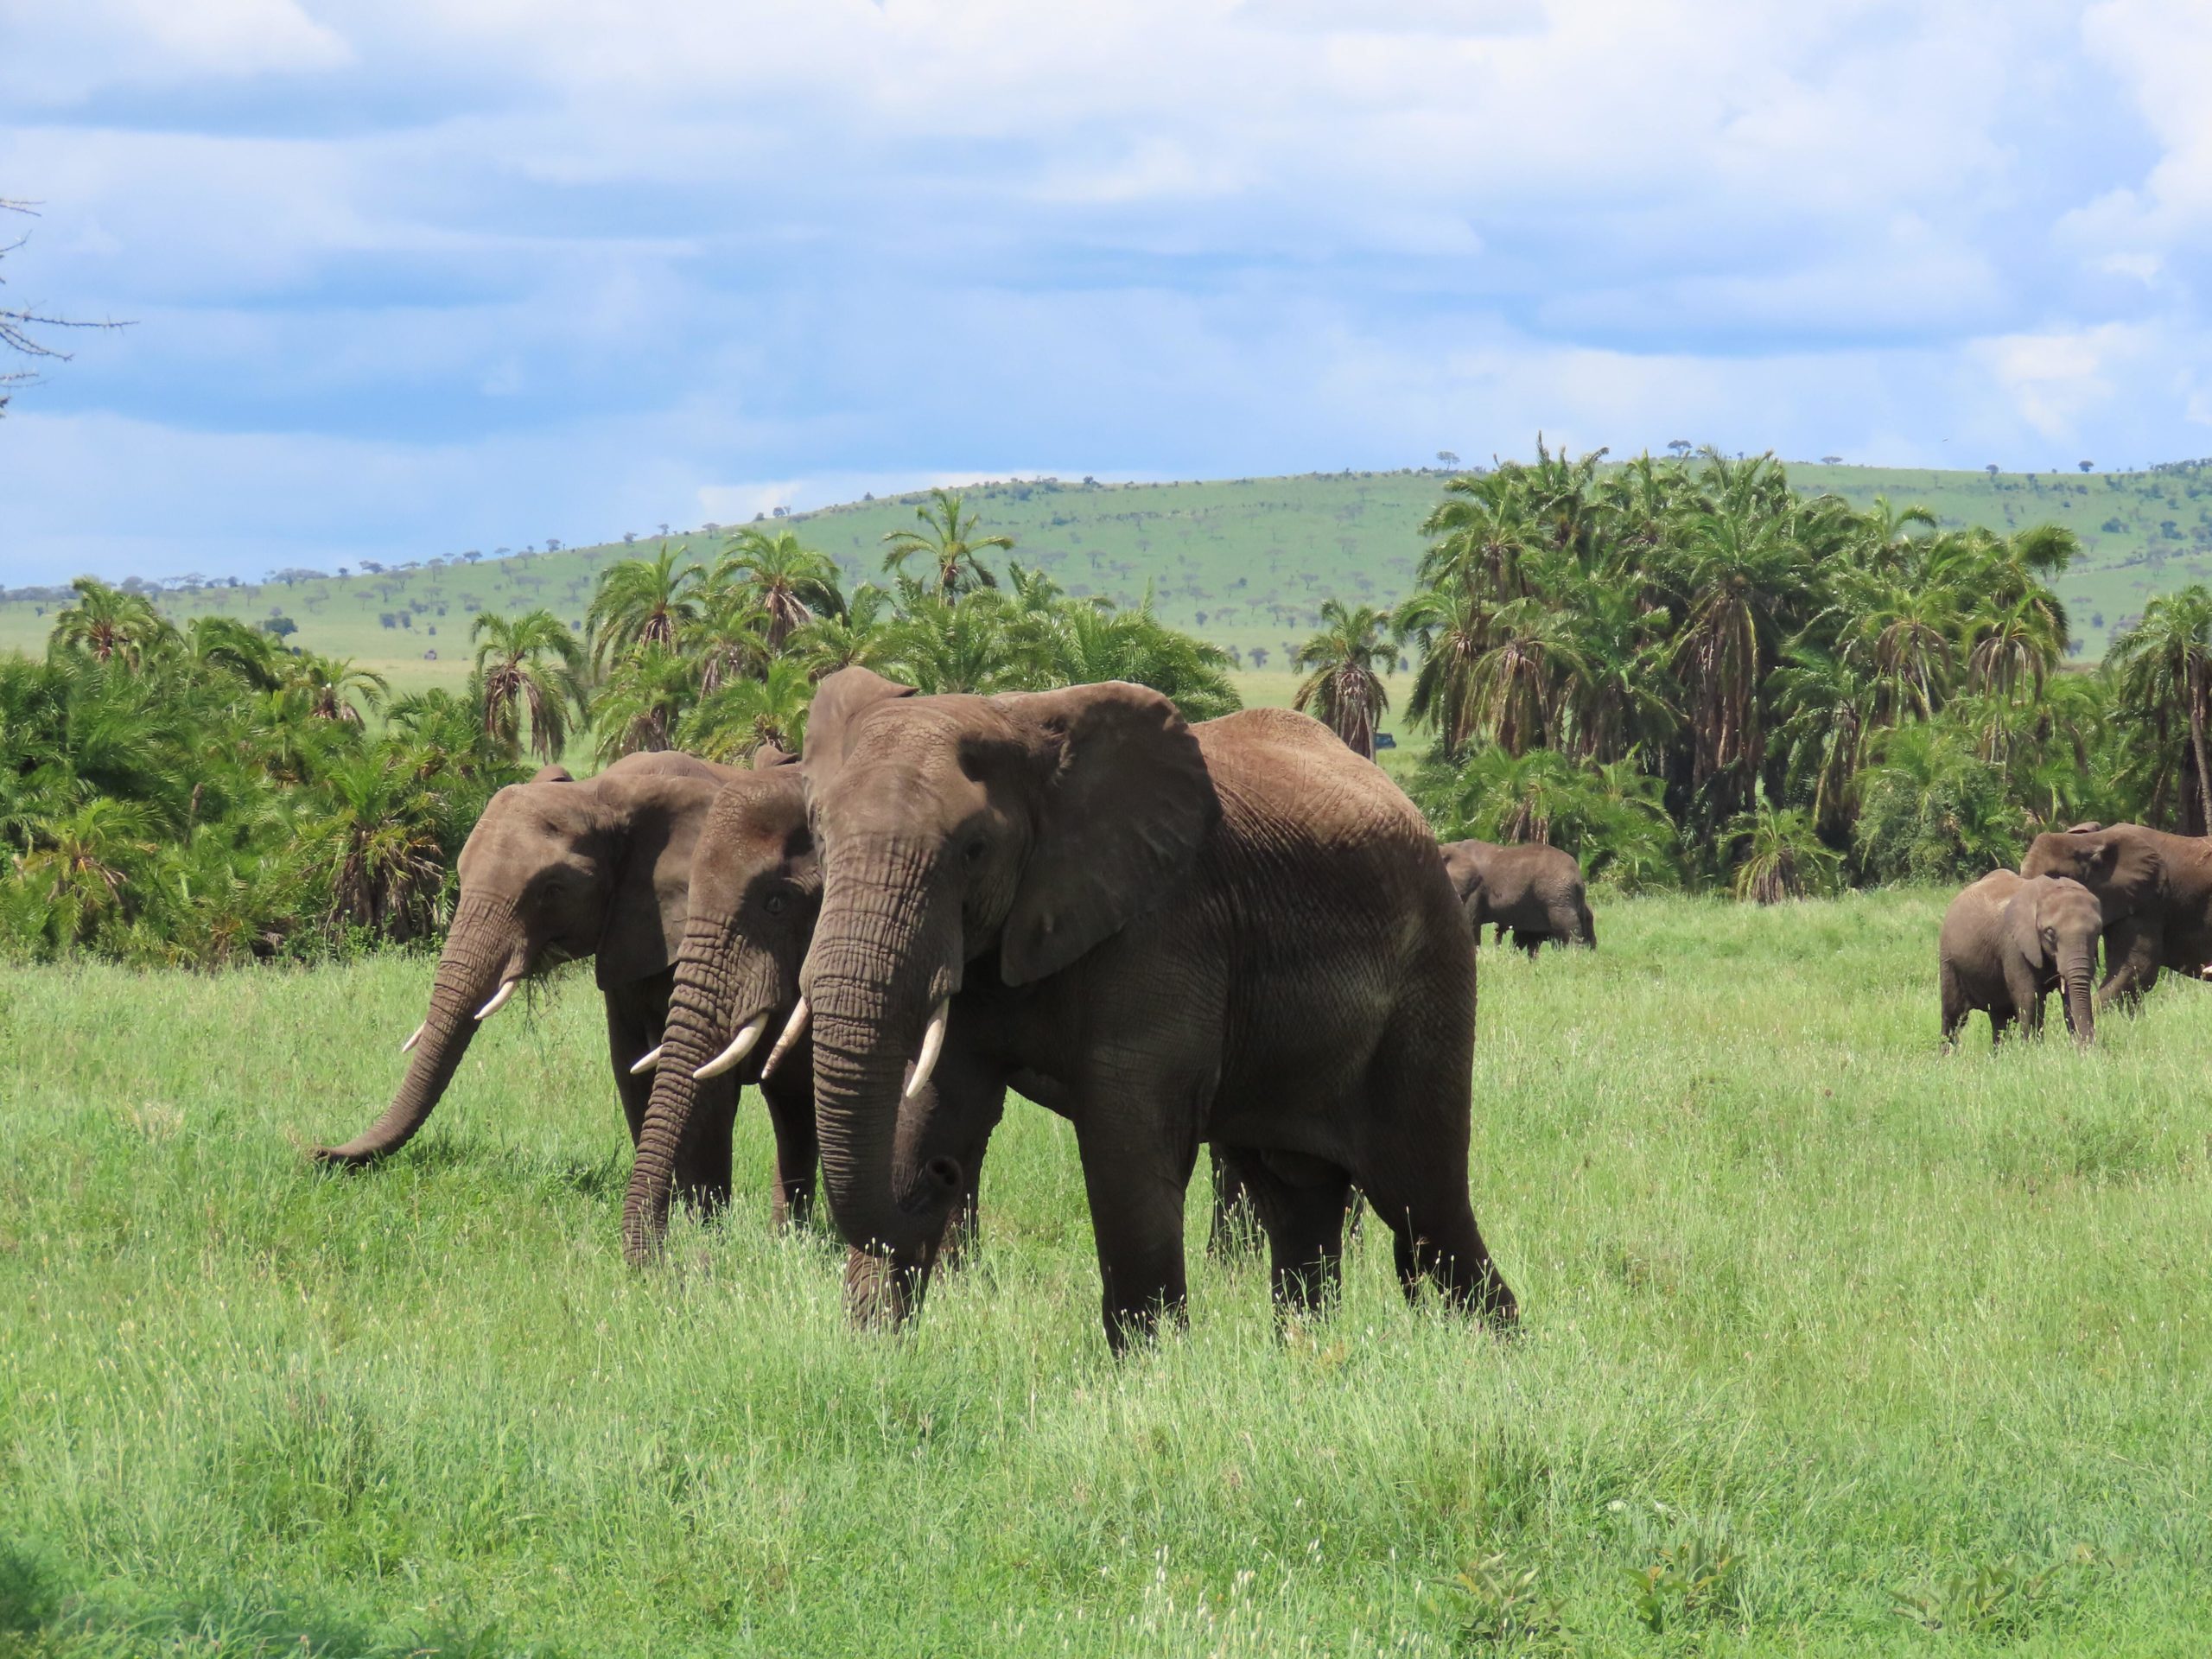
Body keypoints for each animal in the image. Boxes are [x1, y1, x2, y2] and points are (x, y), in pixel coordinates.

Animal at [702, 667, 1515, 1352]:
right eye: (821, 839)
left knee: (1423, 1203)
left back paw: (1494, 1357)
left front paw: (1151, 1376)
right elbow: (933, 1101)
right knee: (1299, 1200)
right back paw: (1306, 1359)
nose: (942, 1178)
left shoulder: (1166, 926)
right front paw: (874, 1356)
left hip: (1432, 977)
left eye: (973, 849)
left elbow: (1129, 1139)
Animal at [1937, 870, 2100, 1049]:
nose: (2090, 1047)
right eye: (2050, 934)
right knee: (1953, 1015)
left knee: (2001, 1019)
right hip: (1948, 959)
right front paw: (2032, 1050)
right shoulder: (2014, 946)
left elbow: (2070, 996)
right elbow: (2029, 998)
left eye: (2098, 932)